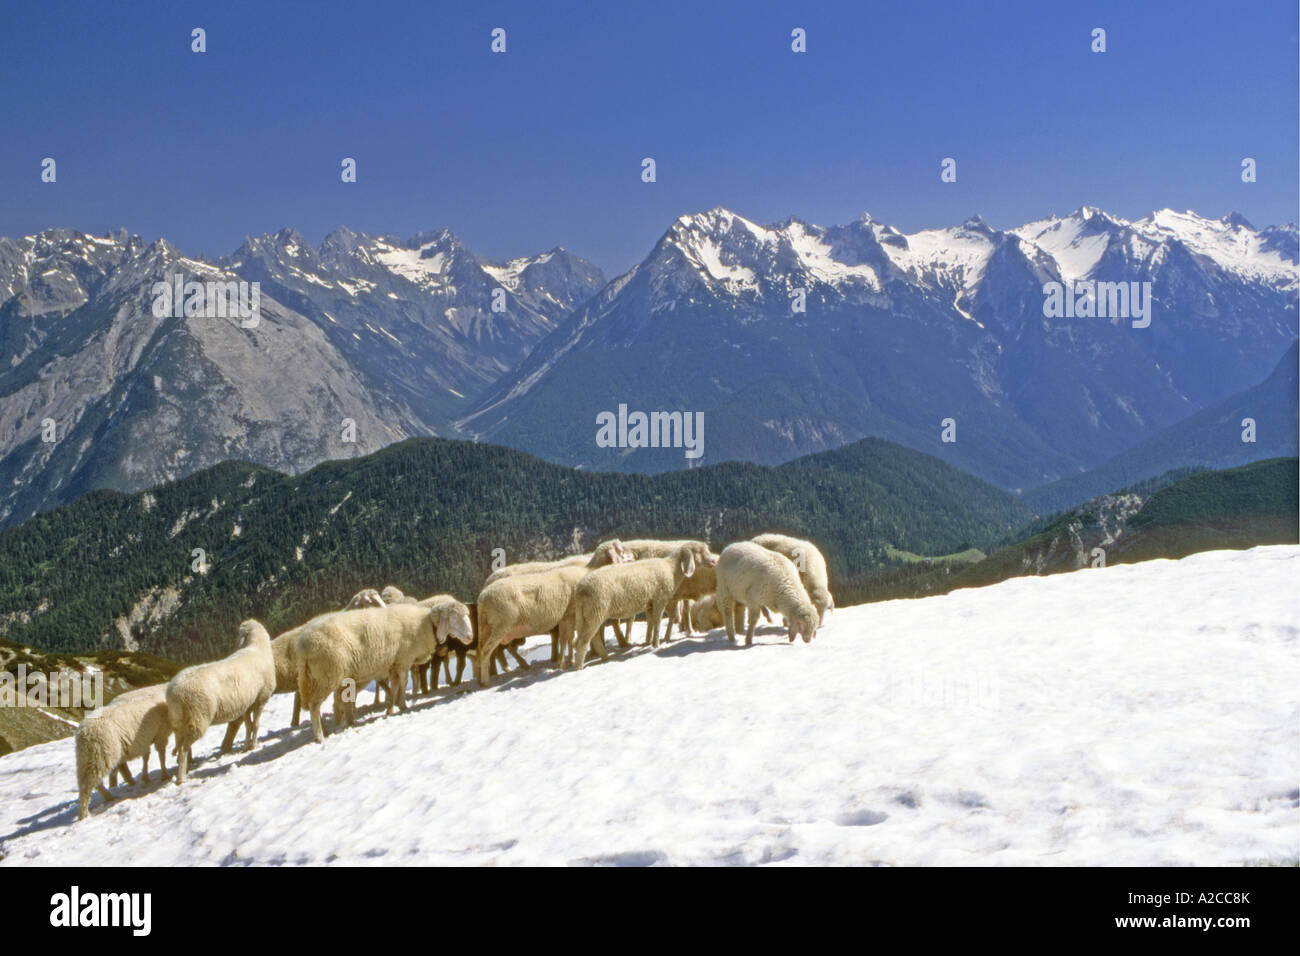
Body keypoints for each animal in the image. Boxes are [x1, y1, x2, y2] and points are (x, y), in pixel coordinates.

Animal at [74, 684, 172, 820]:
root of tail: (84, 732)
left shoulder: (145, 739)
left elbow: (146, 757)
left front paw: (145, 778)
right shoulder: (161, 733)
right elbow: (161, 755)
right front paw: (165, 775)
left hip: (88, 758)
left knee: (95, 780)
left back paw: (113, 793)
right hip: (102, 754)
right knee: (88, 785)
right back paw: (84, 814)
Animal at [166, 619, 277, 784]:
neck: (256, 647)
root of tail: (174, 691)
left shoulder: (245, 704)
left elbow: (248, 726)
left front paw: (246, 747)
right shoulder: (261, 699)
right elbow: (256, 725)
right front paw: (254, 746)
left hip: (178, 721)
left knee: (180, 745)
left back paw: (184, 771)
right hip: (199, 718)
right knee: (182, 750)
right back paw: (182, 778)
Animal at [296, 602, 464, 744]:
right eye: (454, 618)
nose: (468, 637)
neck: (425, 625)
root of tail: (303, 646)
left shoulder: (394, 664)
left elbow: (395, 686)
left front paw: (392, 707)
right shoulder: (403, 660)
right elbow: (403, 684)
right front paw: (402, 706)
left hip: (336, 675)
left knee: (339, 700)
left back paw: (343, 724)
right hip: (327, 675)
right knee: (315, 705)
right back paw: (320, 736)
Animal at [570, 542, 716, 670]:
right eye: (699, 551)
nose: (714, 561)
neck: (671, 568)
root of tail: (580, 589)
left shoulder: (650, 603)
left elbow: (651, 621)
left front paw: (650, 642)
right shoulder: (659, 599)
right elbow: (657, 622)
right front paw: (656, 645)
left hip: (589, 614)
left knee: (593, 638)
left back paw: (605, 657)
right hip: (596, 611)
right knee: (584, 640)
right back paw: (579, 667)